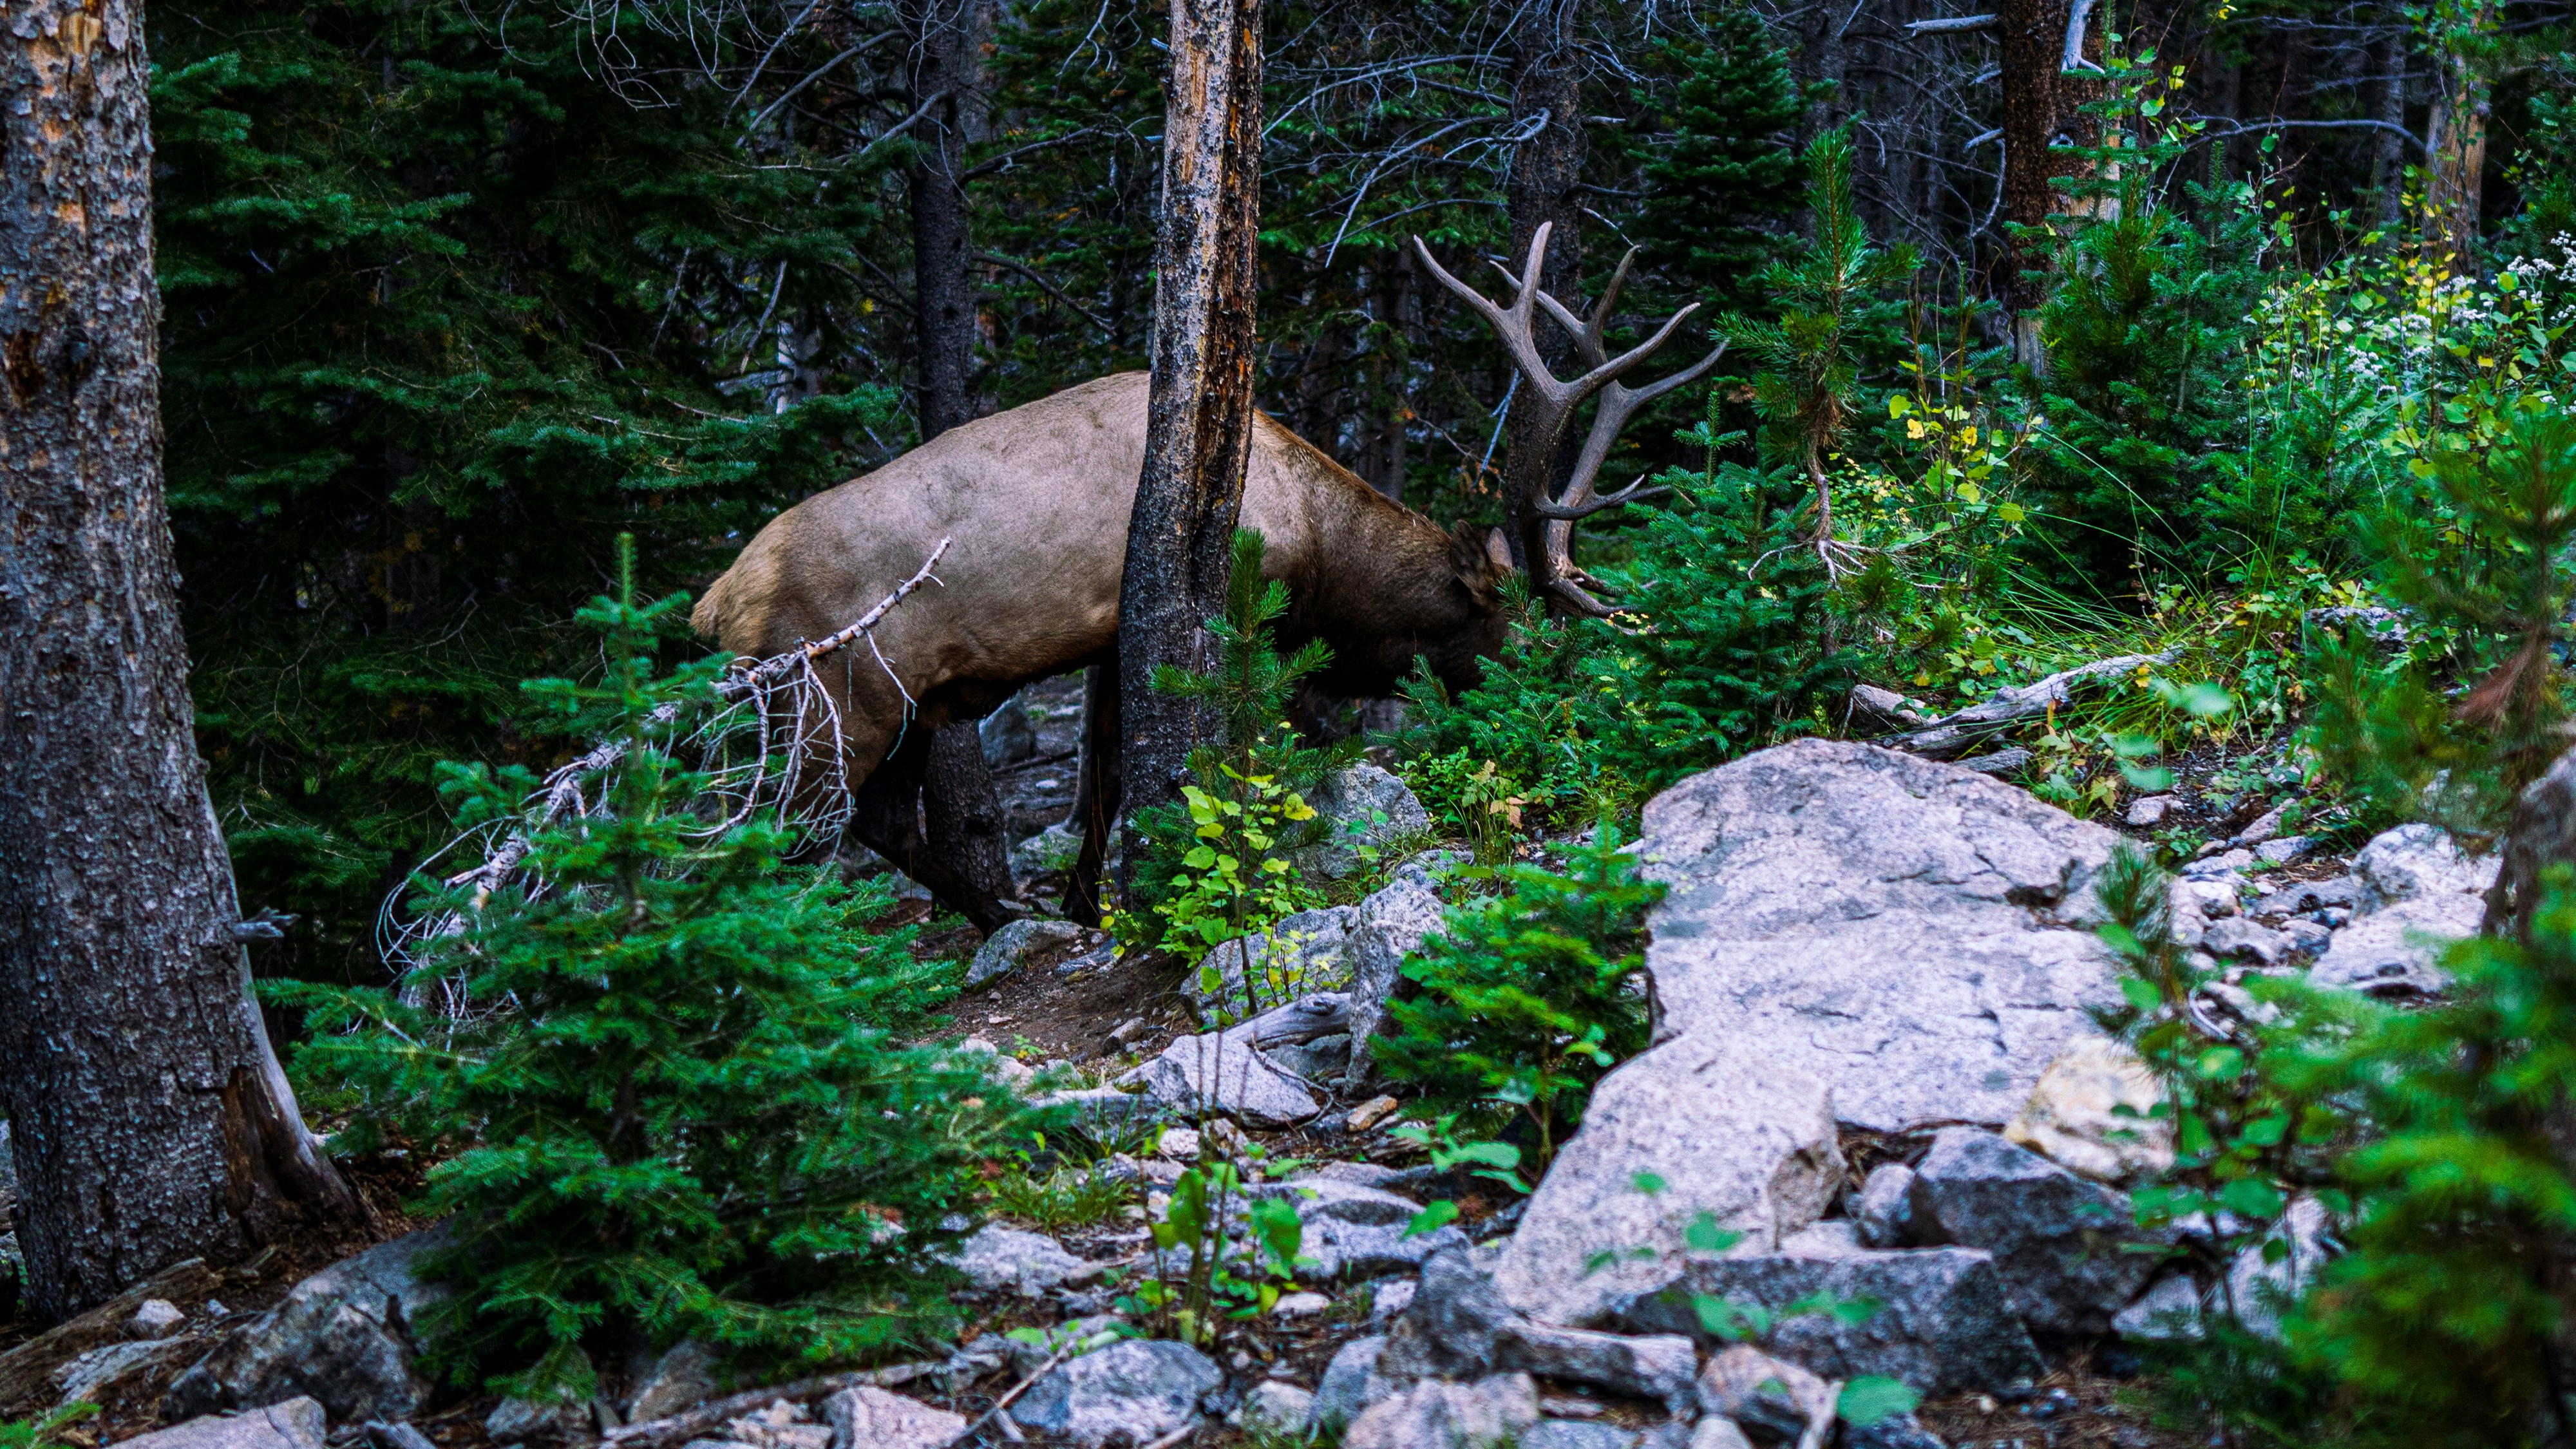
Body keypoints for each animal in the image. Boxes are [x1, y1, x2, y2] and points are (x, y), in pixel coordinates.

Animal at [690, 222, 1718, 929]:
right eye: (1520, 640)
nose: (1570, 724)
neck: (1322, 545)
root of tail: (714, 605)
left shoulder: (1112, 638)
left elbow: (1105, 779)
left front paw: (1087, 905)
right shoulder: (1241, 619)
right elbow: (1257, 753)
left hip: (899, 709)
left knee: (881, 825)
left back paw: (1001, 916)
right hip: (833, 700)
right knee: (774, 837)